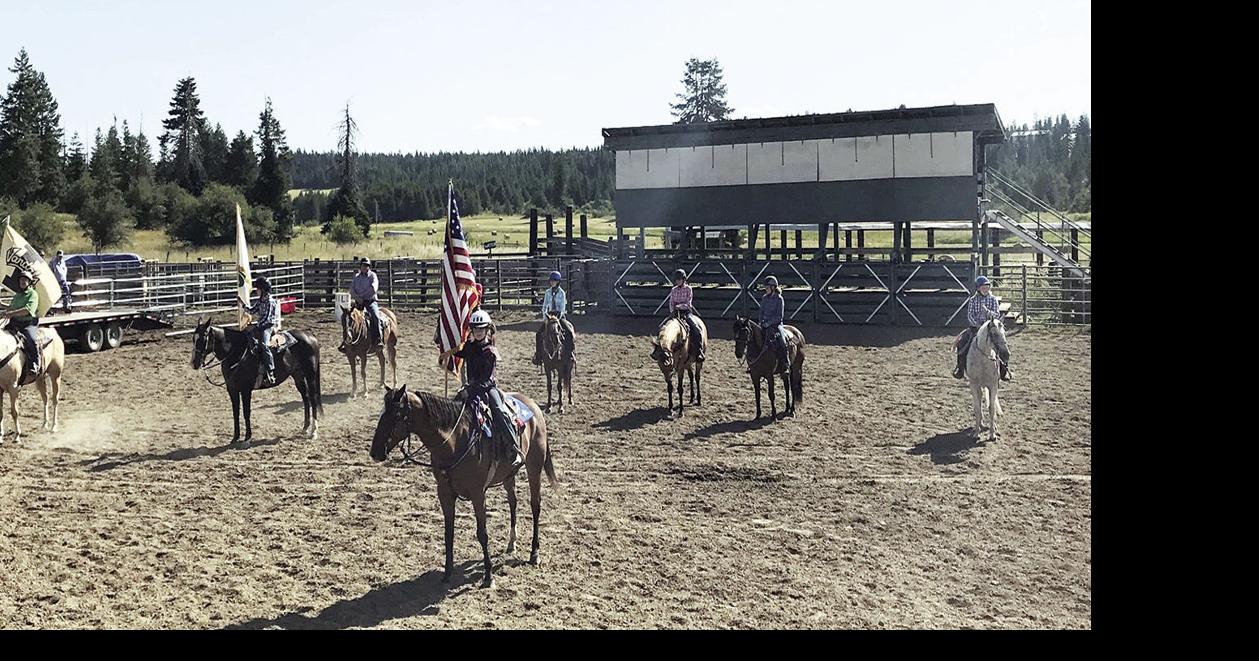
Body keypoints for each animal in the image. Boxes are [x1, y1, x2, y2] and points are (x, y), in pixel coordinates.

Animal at [190, 317, 324, 443]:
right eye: (193, 339)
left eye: (202, 339)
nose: (193, 363)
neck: (237, 352)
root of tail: (311, 337)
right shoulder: (232, 389)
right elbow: (235, 412)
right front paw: (235, 437)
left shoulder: (245, 389)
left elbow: (246, 412)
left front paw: (247, 437)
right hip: (298, 376)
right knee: (305, 398)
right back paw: (305, 428)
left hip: (310, 375)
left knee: (312, 399)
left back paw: (314, 432)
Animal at [370, 385, 558, 588]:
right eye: (382, 413)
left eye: (397, 414)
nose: (375, 452)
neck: (456, 440)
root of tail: (533, 406)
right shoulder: (444, 492)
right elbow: (448, 532)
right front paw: (447, 573)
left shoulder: (478, 494)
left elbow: (482, 533)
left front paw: (488, 576)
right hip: (509, 474)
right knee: (513, 503)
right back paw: (511, 543)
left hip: (534, 466)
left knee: (535, 505)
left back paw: (534, 553)